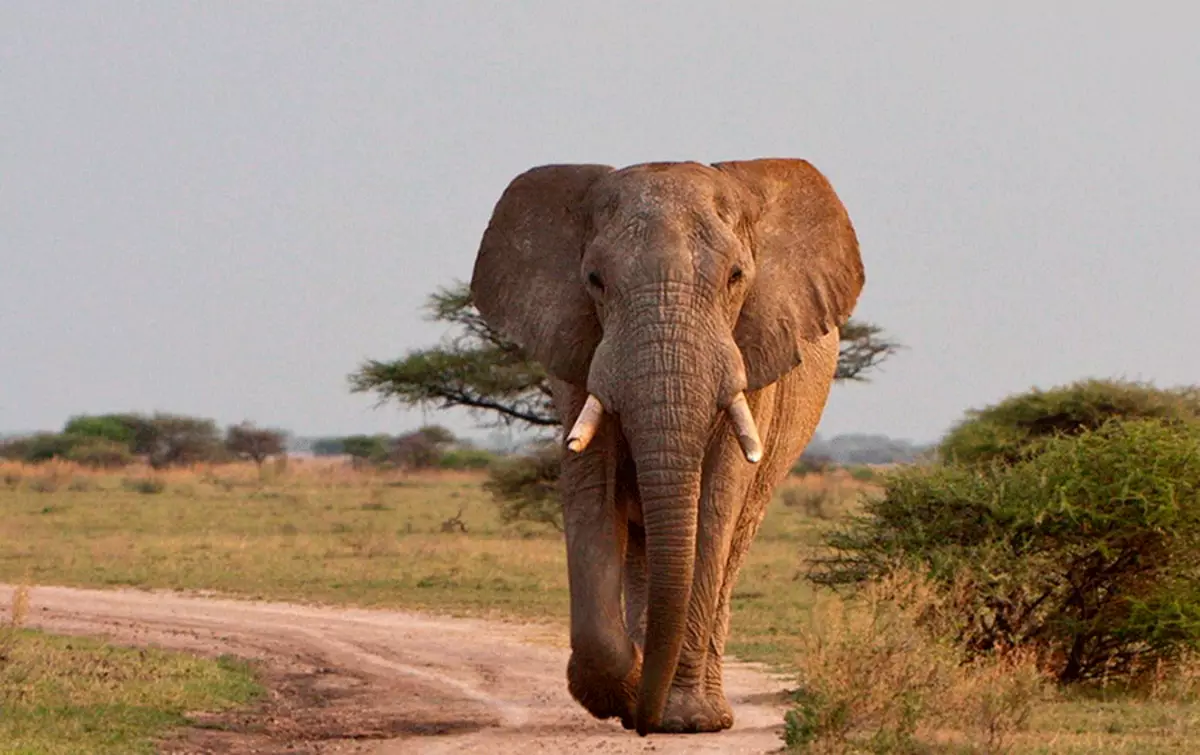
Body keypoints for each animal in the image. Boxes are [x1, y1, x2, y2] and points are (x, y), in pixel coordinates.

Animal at [468, 157, 864, 729]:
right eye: (595, 281)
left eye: (736, 277)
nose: (644, 717)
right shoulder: (579, 354)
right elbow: (591, 489)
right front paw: (628, 690)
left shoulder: (754, 354)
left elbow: (716, 503)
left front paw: (682, 719)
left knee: (732, 542)